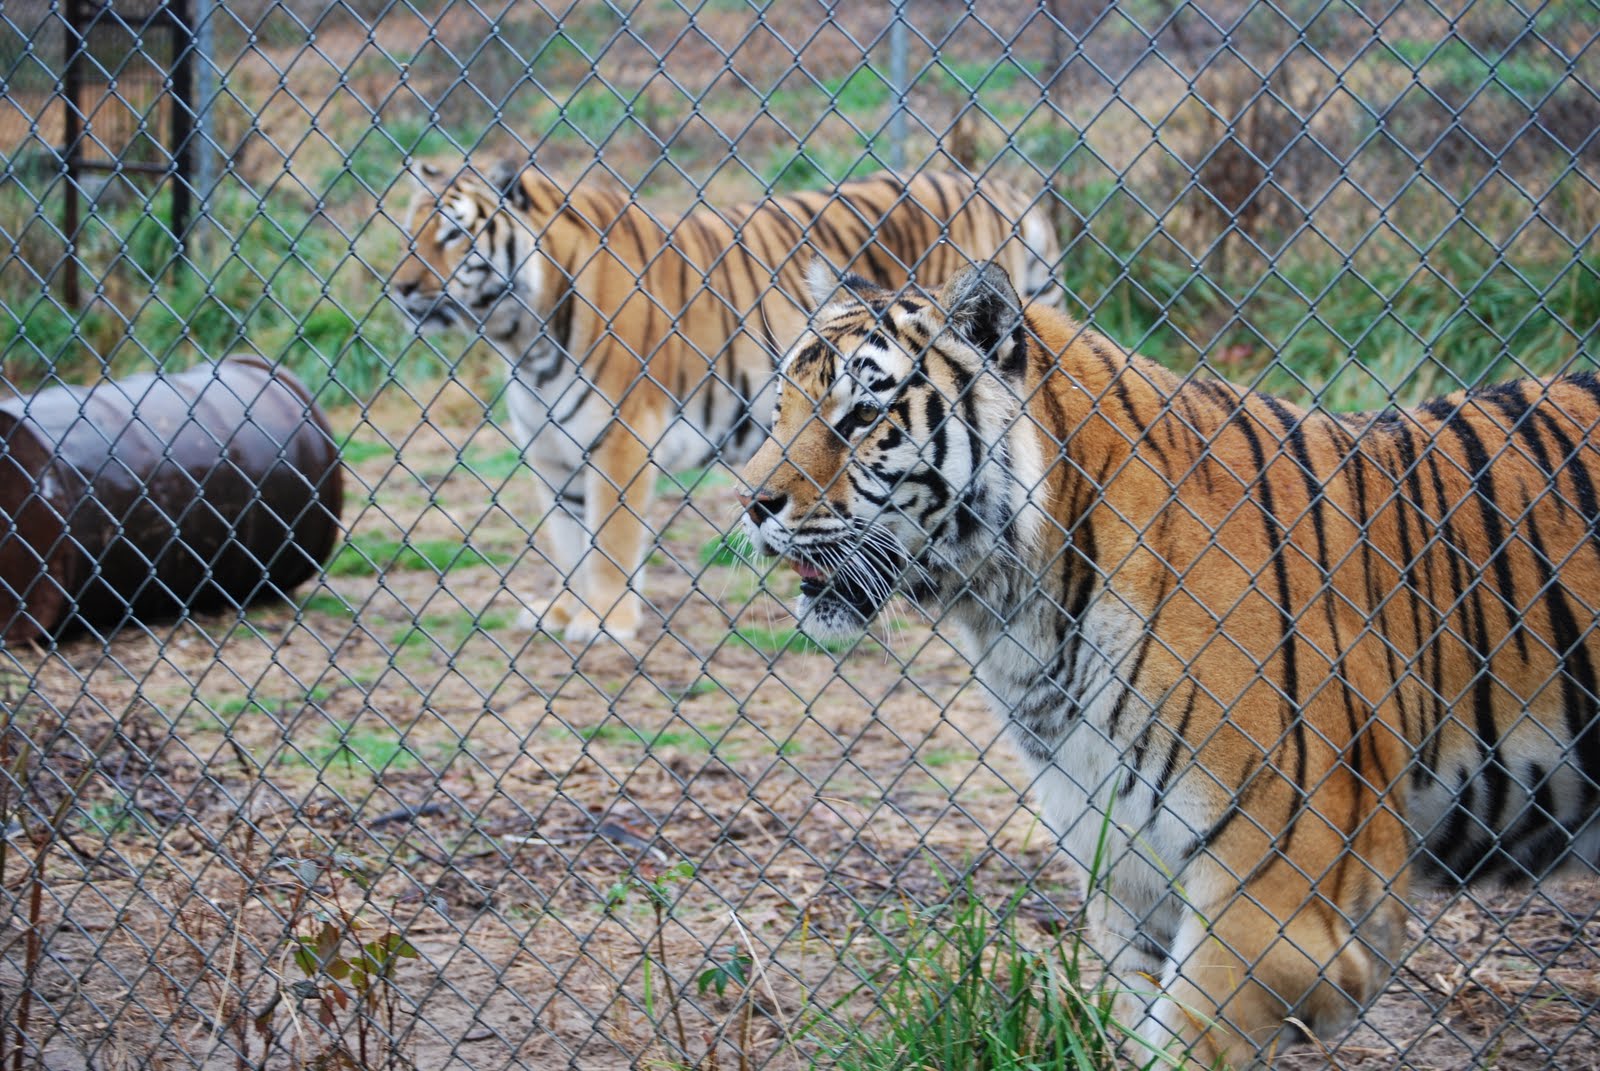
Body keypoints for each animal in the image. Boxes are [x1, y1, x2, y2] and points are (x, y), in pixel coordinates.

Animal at [391, 162, 1060, 643]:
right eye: (410, 230)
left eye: (453, 234)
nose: (397, 287)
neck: (521, 338)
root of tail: (1004, 188)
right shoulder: (552, 451)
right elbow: (566, 541)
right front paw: (564, 609)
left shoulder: (620, 438)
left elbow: (607, 540)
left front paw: (602, 620)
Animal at [737, 260, 1600, 1066]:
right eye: (779, 410)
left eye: (862, 415)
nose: (751, 505)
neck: (1024, 615)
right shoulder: (1130, 877)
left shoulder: (1278, 905)